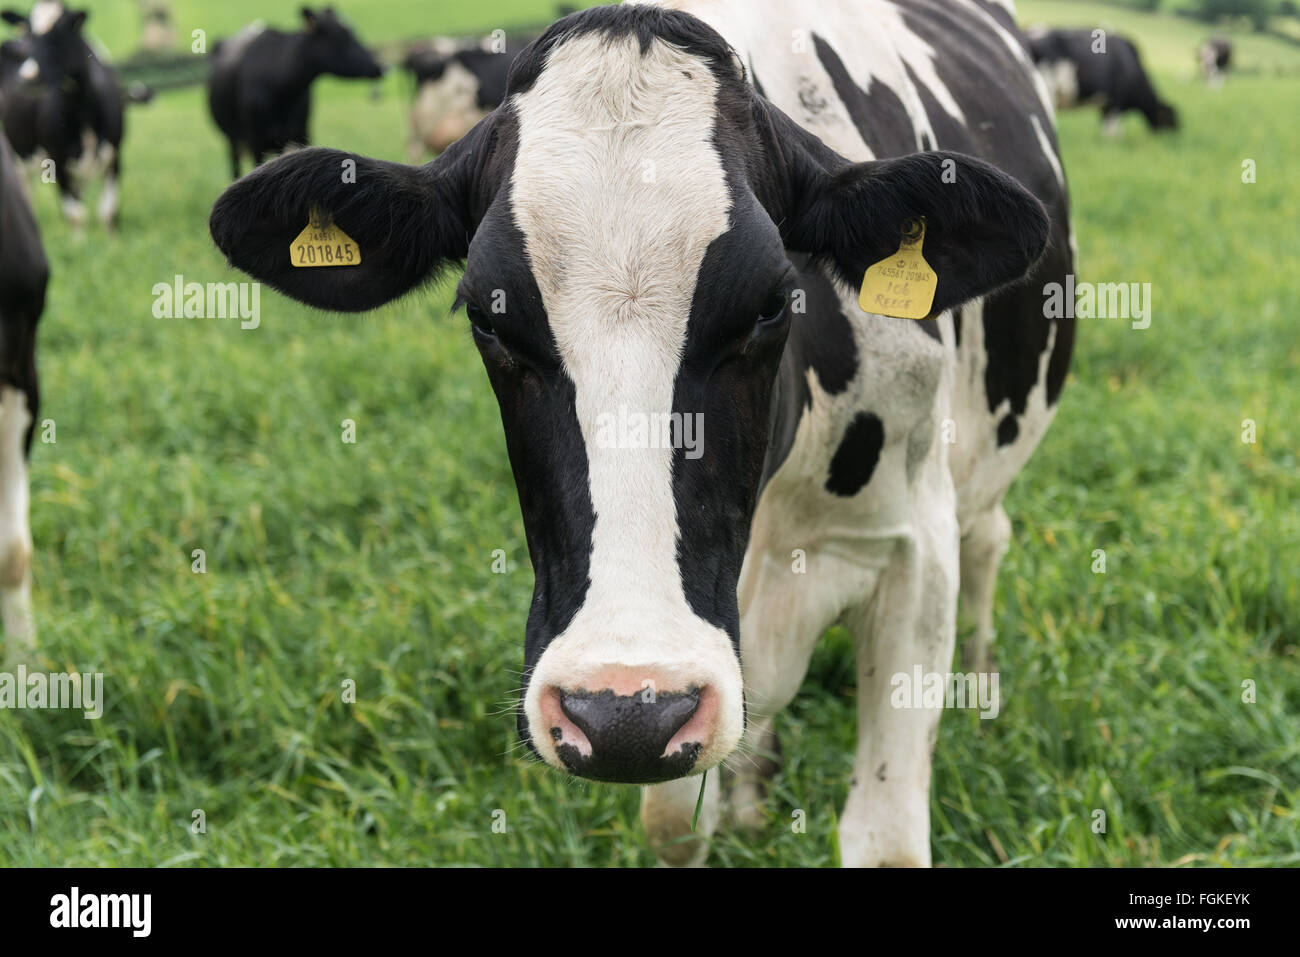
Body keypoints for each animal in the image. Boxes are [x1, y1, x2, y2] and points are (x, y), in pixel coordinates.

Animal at [1, 2, 131, 228]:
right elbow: (75, 215)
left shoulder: (114, 155)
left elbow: (109, 212)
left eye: (59, 33)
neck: (82, 113)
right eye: (29, 33)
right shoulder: (57, 162)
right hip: (18, 160)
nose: (28, 77)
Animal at [1027, 27, 1177, 135]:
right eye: (1170, 121)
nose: (1172, 141)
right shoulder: (1116, 101)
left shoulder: (1107, 105)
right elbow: (1110, 130)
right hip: (1049, 91)